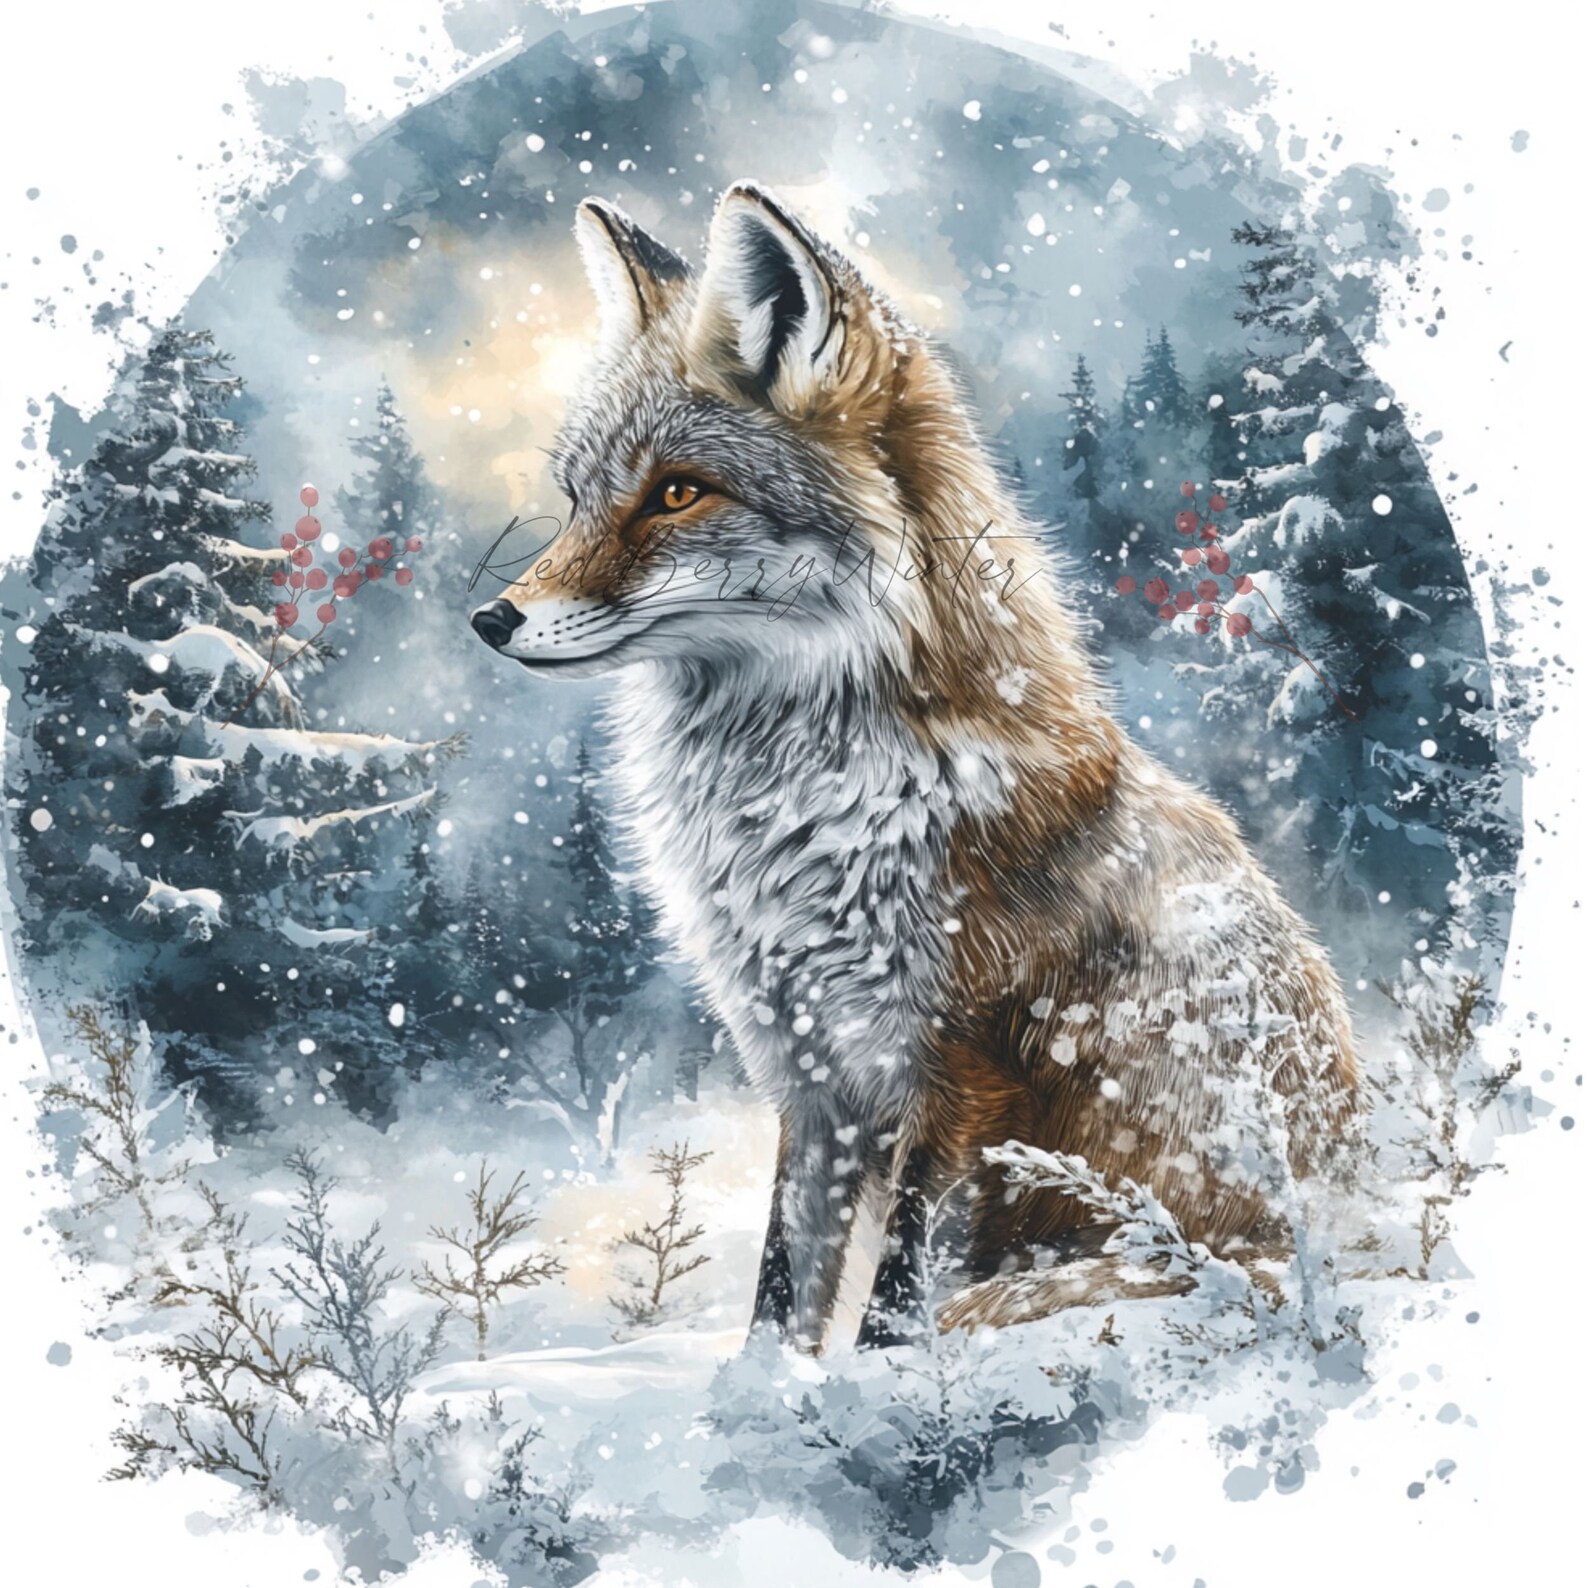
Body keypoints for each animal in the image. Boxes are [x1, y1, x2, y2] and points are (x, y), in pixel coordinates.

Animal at [470, 181, 1357, 1352]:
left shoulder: (961, 1068)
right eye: (577, 497)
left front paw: (874, 1384)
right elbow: (784, 1288)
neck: (802, 827)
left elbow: (892, 1296)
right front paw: (765, 1387)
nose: (491, 619)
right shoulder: (809, 1073)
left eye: (676, 493)